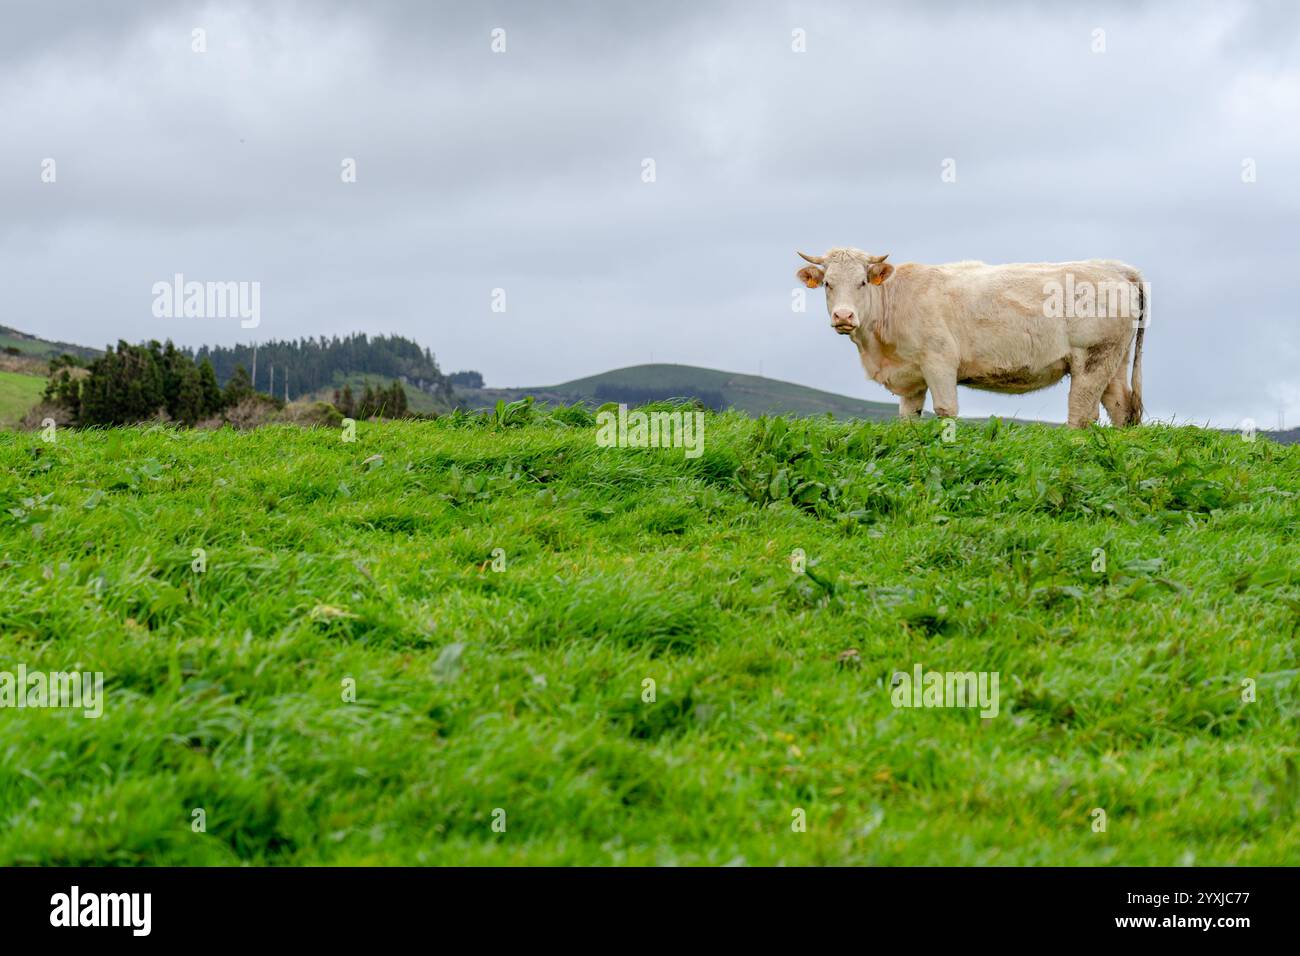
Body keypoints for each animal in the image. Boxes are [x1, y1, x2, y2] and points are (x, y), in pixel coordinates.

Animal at [795, 248, 1146, 428]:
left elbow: (946, 411)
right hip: (1114, 362)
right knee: (1121, 409)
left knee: (1081, 415)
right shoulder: (911, 377)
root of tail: (1115, 267)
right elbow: (908, 418)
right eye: (827, 283)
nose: (843, 317)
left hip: (1092, 359)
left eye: (863, 282)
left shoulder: (939, 361)